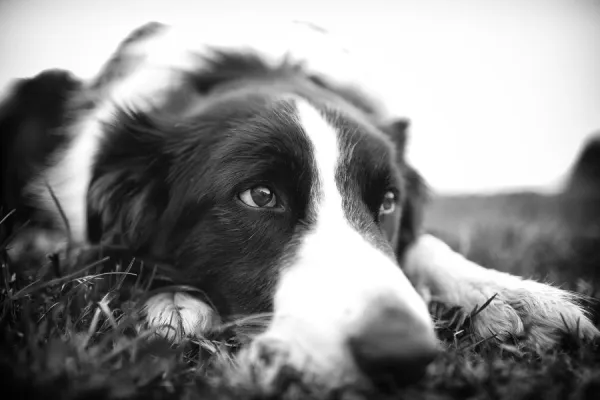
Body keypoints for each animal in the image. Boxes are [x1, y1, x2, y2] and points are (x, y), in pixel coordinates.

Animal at [0, 21, 596, 390]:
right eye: (259, 195)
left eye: (387, 201)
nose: (402, 353)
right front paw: (171, 303)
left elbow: (423, 244)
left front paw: (510, 297)